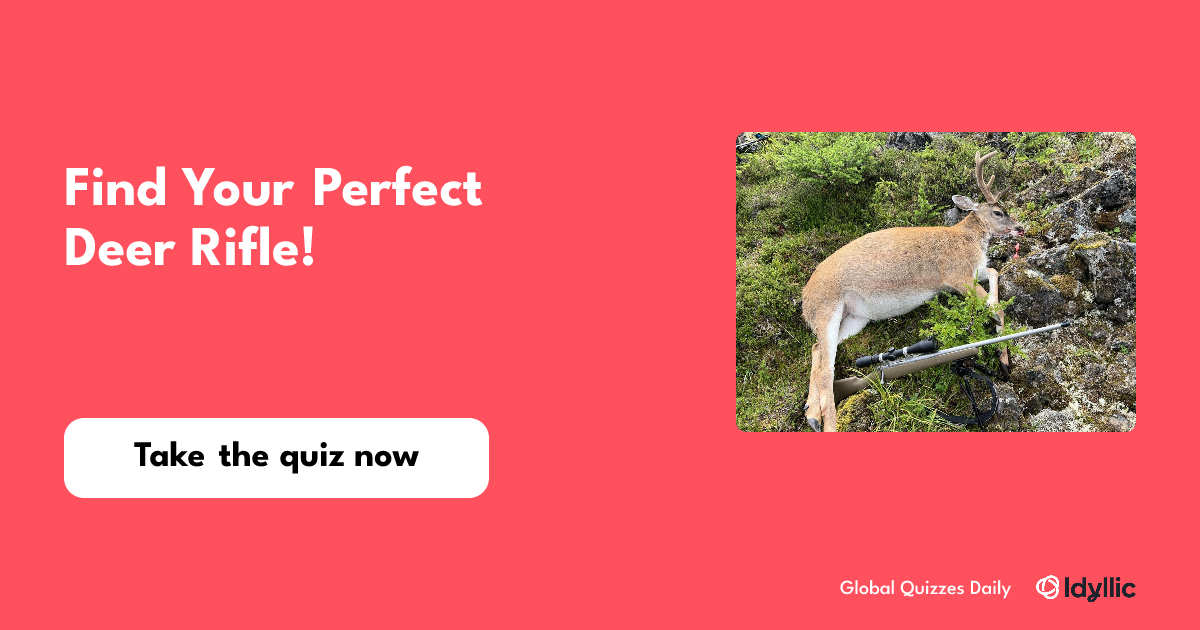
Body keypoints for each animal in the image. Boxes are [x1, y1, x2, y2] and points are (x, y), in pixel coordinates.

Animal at [800, 151, 1022, 431]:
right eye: (998, 212)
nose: (1020, 227)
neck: (969, 240)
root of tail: (804, 297)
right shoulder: (956, 273)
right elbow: (997, 306)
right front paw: (1004, 362)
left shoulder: (974, 272)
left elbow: (993, 272)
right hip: (826, 309)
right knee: (826, 369)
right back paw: (828, 424)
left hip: (854, 318)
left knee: (817, 350)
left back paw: (812, 414)